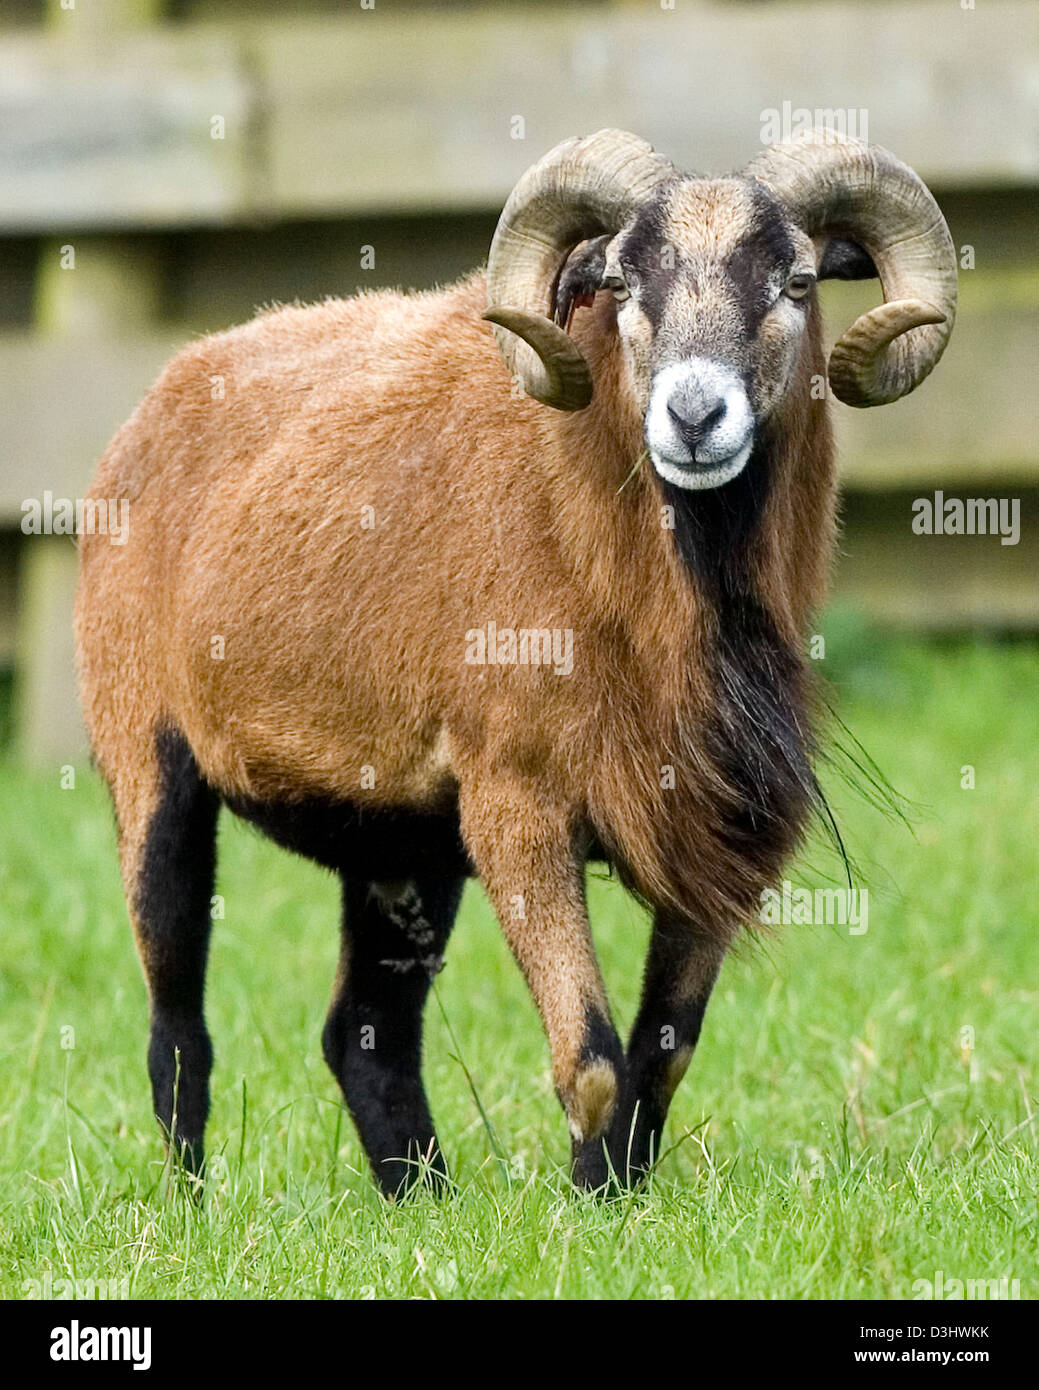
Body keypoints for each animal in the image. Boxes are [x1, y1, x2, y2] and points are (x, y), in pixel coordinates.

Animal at [74, 128, 956, 1196]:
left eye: (792, 280)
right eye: (621, 282)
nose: (693, 416)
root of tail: (159, 398)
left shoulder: (717, 817)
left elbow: (661, 1058)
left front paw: (620, 1197)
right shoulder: (516, 803)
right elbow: (591, 1060)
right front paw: (588, 1208)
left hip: (398, 843)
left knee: (365, 1035)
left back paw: (422, 1204)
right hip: (150, 769)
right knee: (177, 1034)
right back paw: (194, 1206)